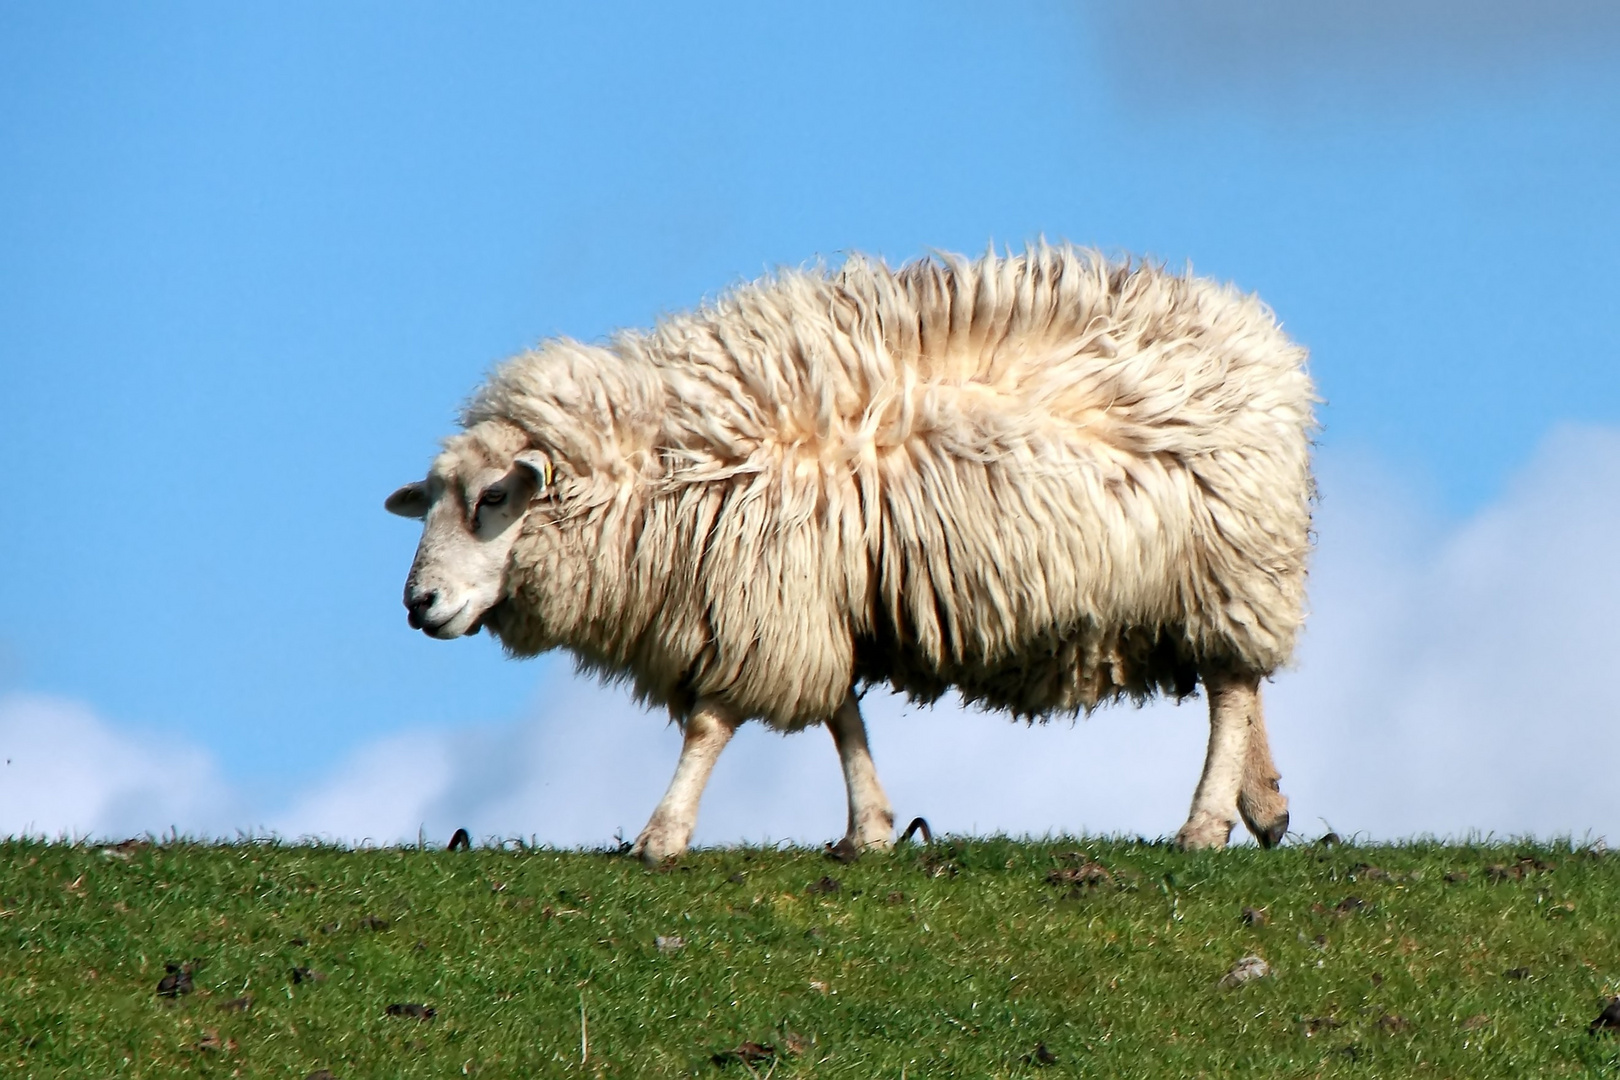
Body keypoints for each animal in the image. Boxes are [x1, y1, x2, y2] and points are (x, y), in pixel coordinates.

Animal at [386, 244, 1315, 861]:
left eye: (493, 498)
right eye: (429, 502)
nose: (417, 603)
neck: (661, 460)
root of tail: (1264, 340)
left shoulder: (763, 598)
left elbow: (713, 723)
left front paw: (662, 832)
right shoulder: (815, 594)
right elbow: (841, 714)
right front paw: (869, 827)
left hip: (1231, 565)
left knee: (1231, 692)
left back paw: (1204, 824)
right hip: (1211, 585)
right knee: (1239, 683)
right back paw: (1264, 802)